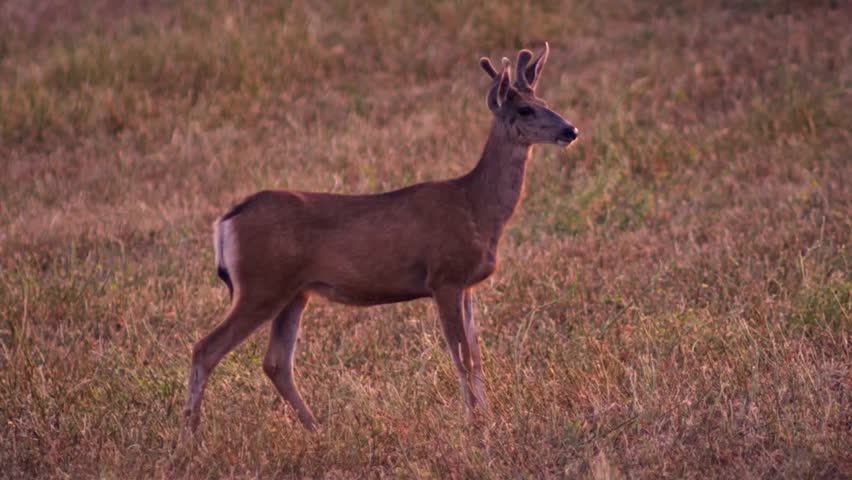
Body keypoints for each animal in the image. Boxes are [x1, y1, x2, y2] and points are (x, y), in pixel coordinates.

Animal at [184, 43, 578, 433]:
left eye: (545, 100)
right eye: (526, 109)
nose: (570, 129)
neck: (477, 205)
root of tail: (227, 219)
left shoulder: (466, 284)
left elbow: (477, 356)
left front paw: (491, 417)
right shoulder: (445, 277)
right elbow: (461, 357)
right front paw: (477, 424)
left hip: (294, 292)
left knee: (276, 362)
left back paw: (317, 429)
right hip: (261, 285)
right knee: (206, 348)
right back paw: (191, 434)